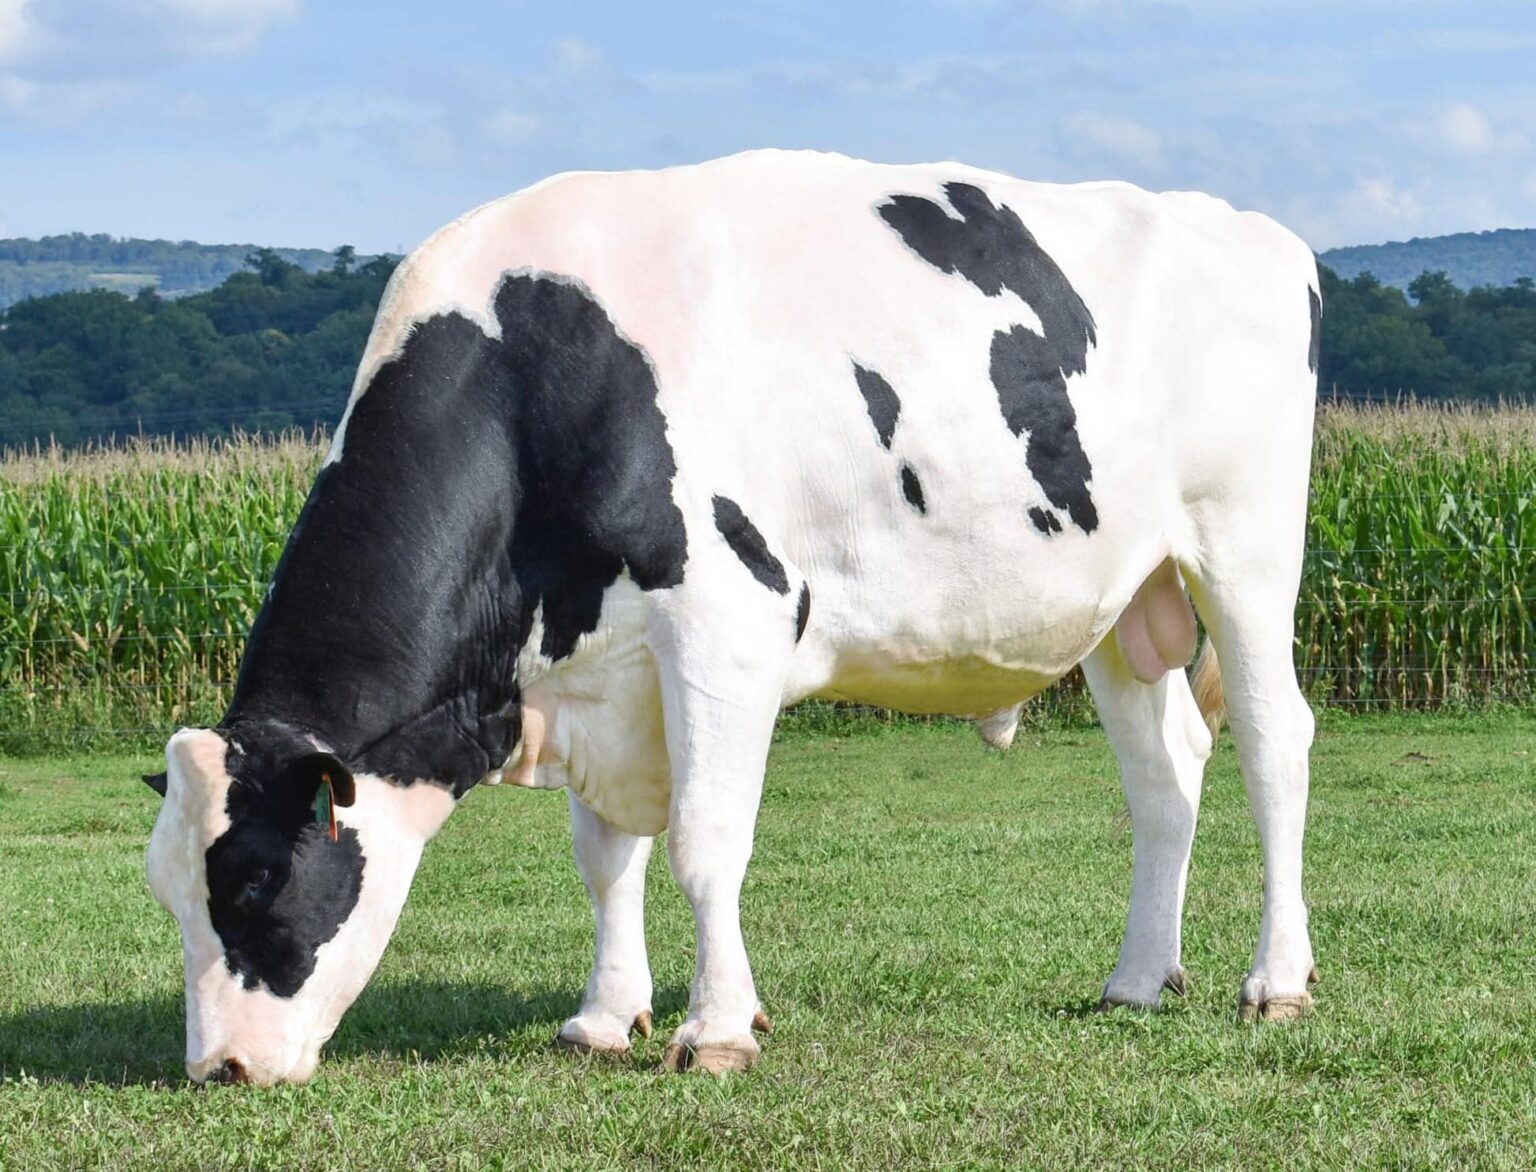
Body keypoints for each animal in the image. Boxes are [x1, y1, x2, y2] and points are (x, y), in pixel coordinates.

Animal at [143, 149, 1320, 1085]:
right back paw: (1137, 979)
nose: (220, 1067)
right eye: (169, 893)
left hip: (1246, 548)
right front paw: (605, 1015)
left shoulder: (726, 619)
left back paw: (1276, 981)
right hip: (1126, 596)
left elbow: (704, 841)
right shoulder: (595, 674)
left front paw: (714, 1029)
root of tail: (1259, 232)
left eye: (255, 878)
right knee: (1166, 773)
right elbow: (605, 855)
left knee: (1274, 745)